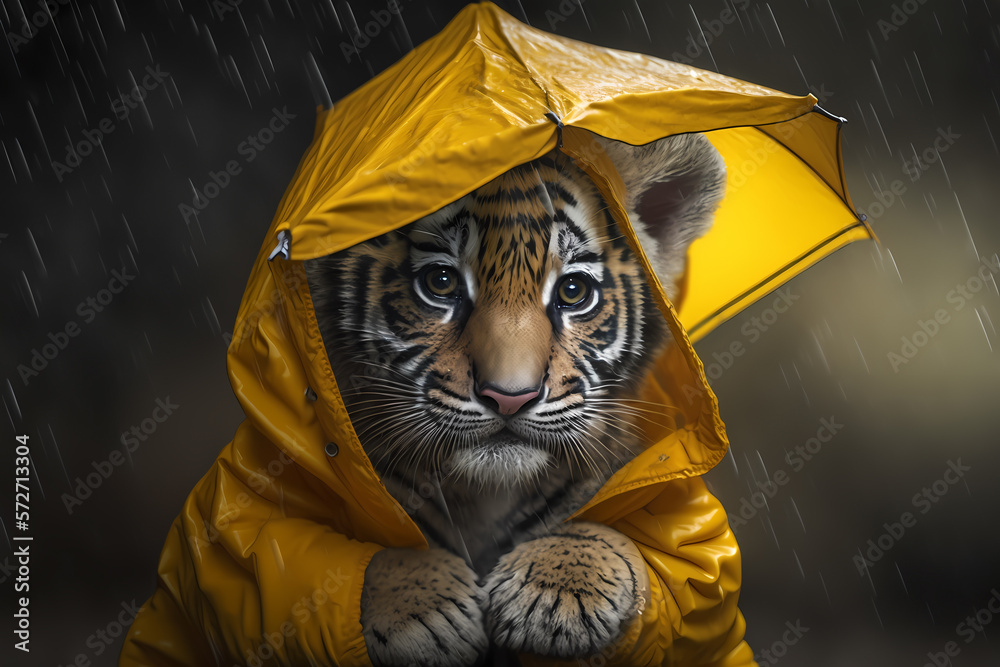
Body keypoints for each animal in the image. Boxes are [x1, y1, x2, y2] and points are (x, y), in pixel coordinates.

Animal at [304, 131, 726, 666]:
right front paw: (422, 612)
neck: (485, 497)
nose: (509, 398)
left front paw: (559, 595)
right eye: (440, 282)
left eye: (573, 291)